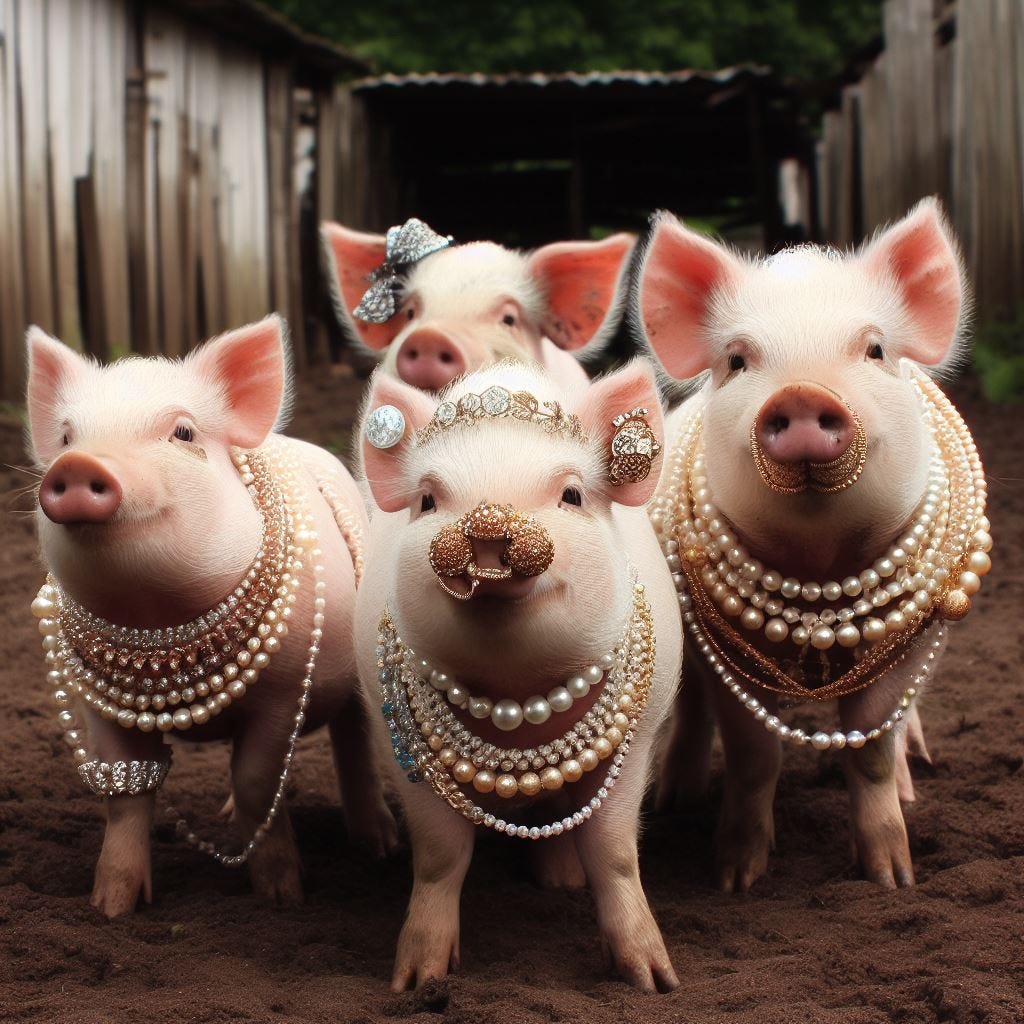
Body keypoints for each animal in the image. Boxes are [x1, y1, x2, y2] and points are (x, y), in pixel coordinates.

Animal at [26, 316, 397, 916]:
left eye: (183, 433)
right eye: (65, 438)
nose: (79, 465)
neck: (159, 619)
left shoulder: (285, 688)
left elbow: (256, 780)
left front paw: (281, 897)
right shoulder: (95, 706)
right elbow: (126, 789)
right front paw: (109, 908)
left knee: (353, 739)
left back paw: (380, 847)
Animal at [355, 359, 680, 991]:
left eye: (572, 494)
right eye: (427, 500)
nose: (486, 525)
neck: (517, 697)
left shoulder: (641, 733)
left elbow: (613, 852)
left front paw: (656, 982)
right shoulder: (395, 745)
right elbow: (440, 855)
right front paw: (417, 983)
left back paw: (561, 881)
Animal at [634, 198, 981, 891]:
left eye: (874, 349)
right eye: (737, 360)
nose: (800, 394)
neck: (819, 567)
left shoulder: (913, 644)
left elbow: (871, 748)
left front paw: (893, 880)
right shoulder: (728, 655)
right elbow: (753, 753)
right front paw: (736, 880)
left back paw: (915, 777)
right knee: (692, 709)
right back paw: (676, 798)